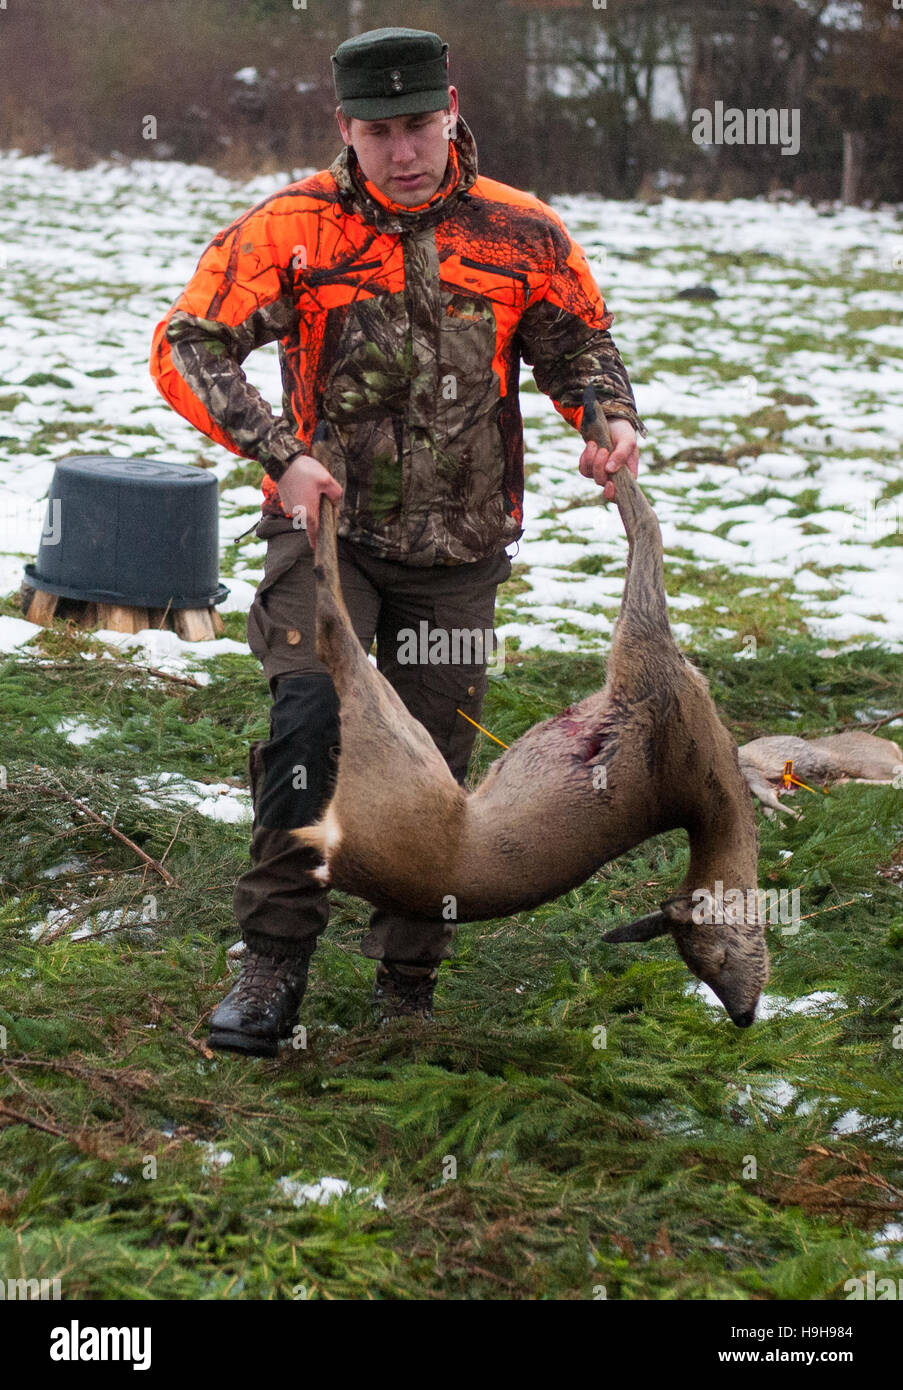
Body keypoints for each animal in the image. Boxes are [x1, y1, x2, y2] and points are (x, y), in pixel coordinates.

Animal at [293, 395, 769, 1027]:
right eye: (712, 956)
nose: (743, 1016)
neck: (706, 787)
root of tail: (338, 846)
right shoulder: (651, 663)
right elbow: (646, 527)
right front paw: (601, 430)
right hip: (399, 753)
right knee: (330, 629)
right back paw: (323, 459)